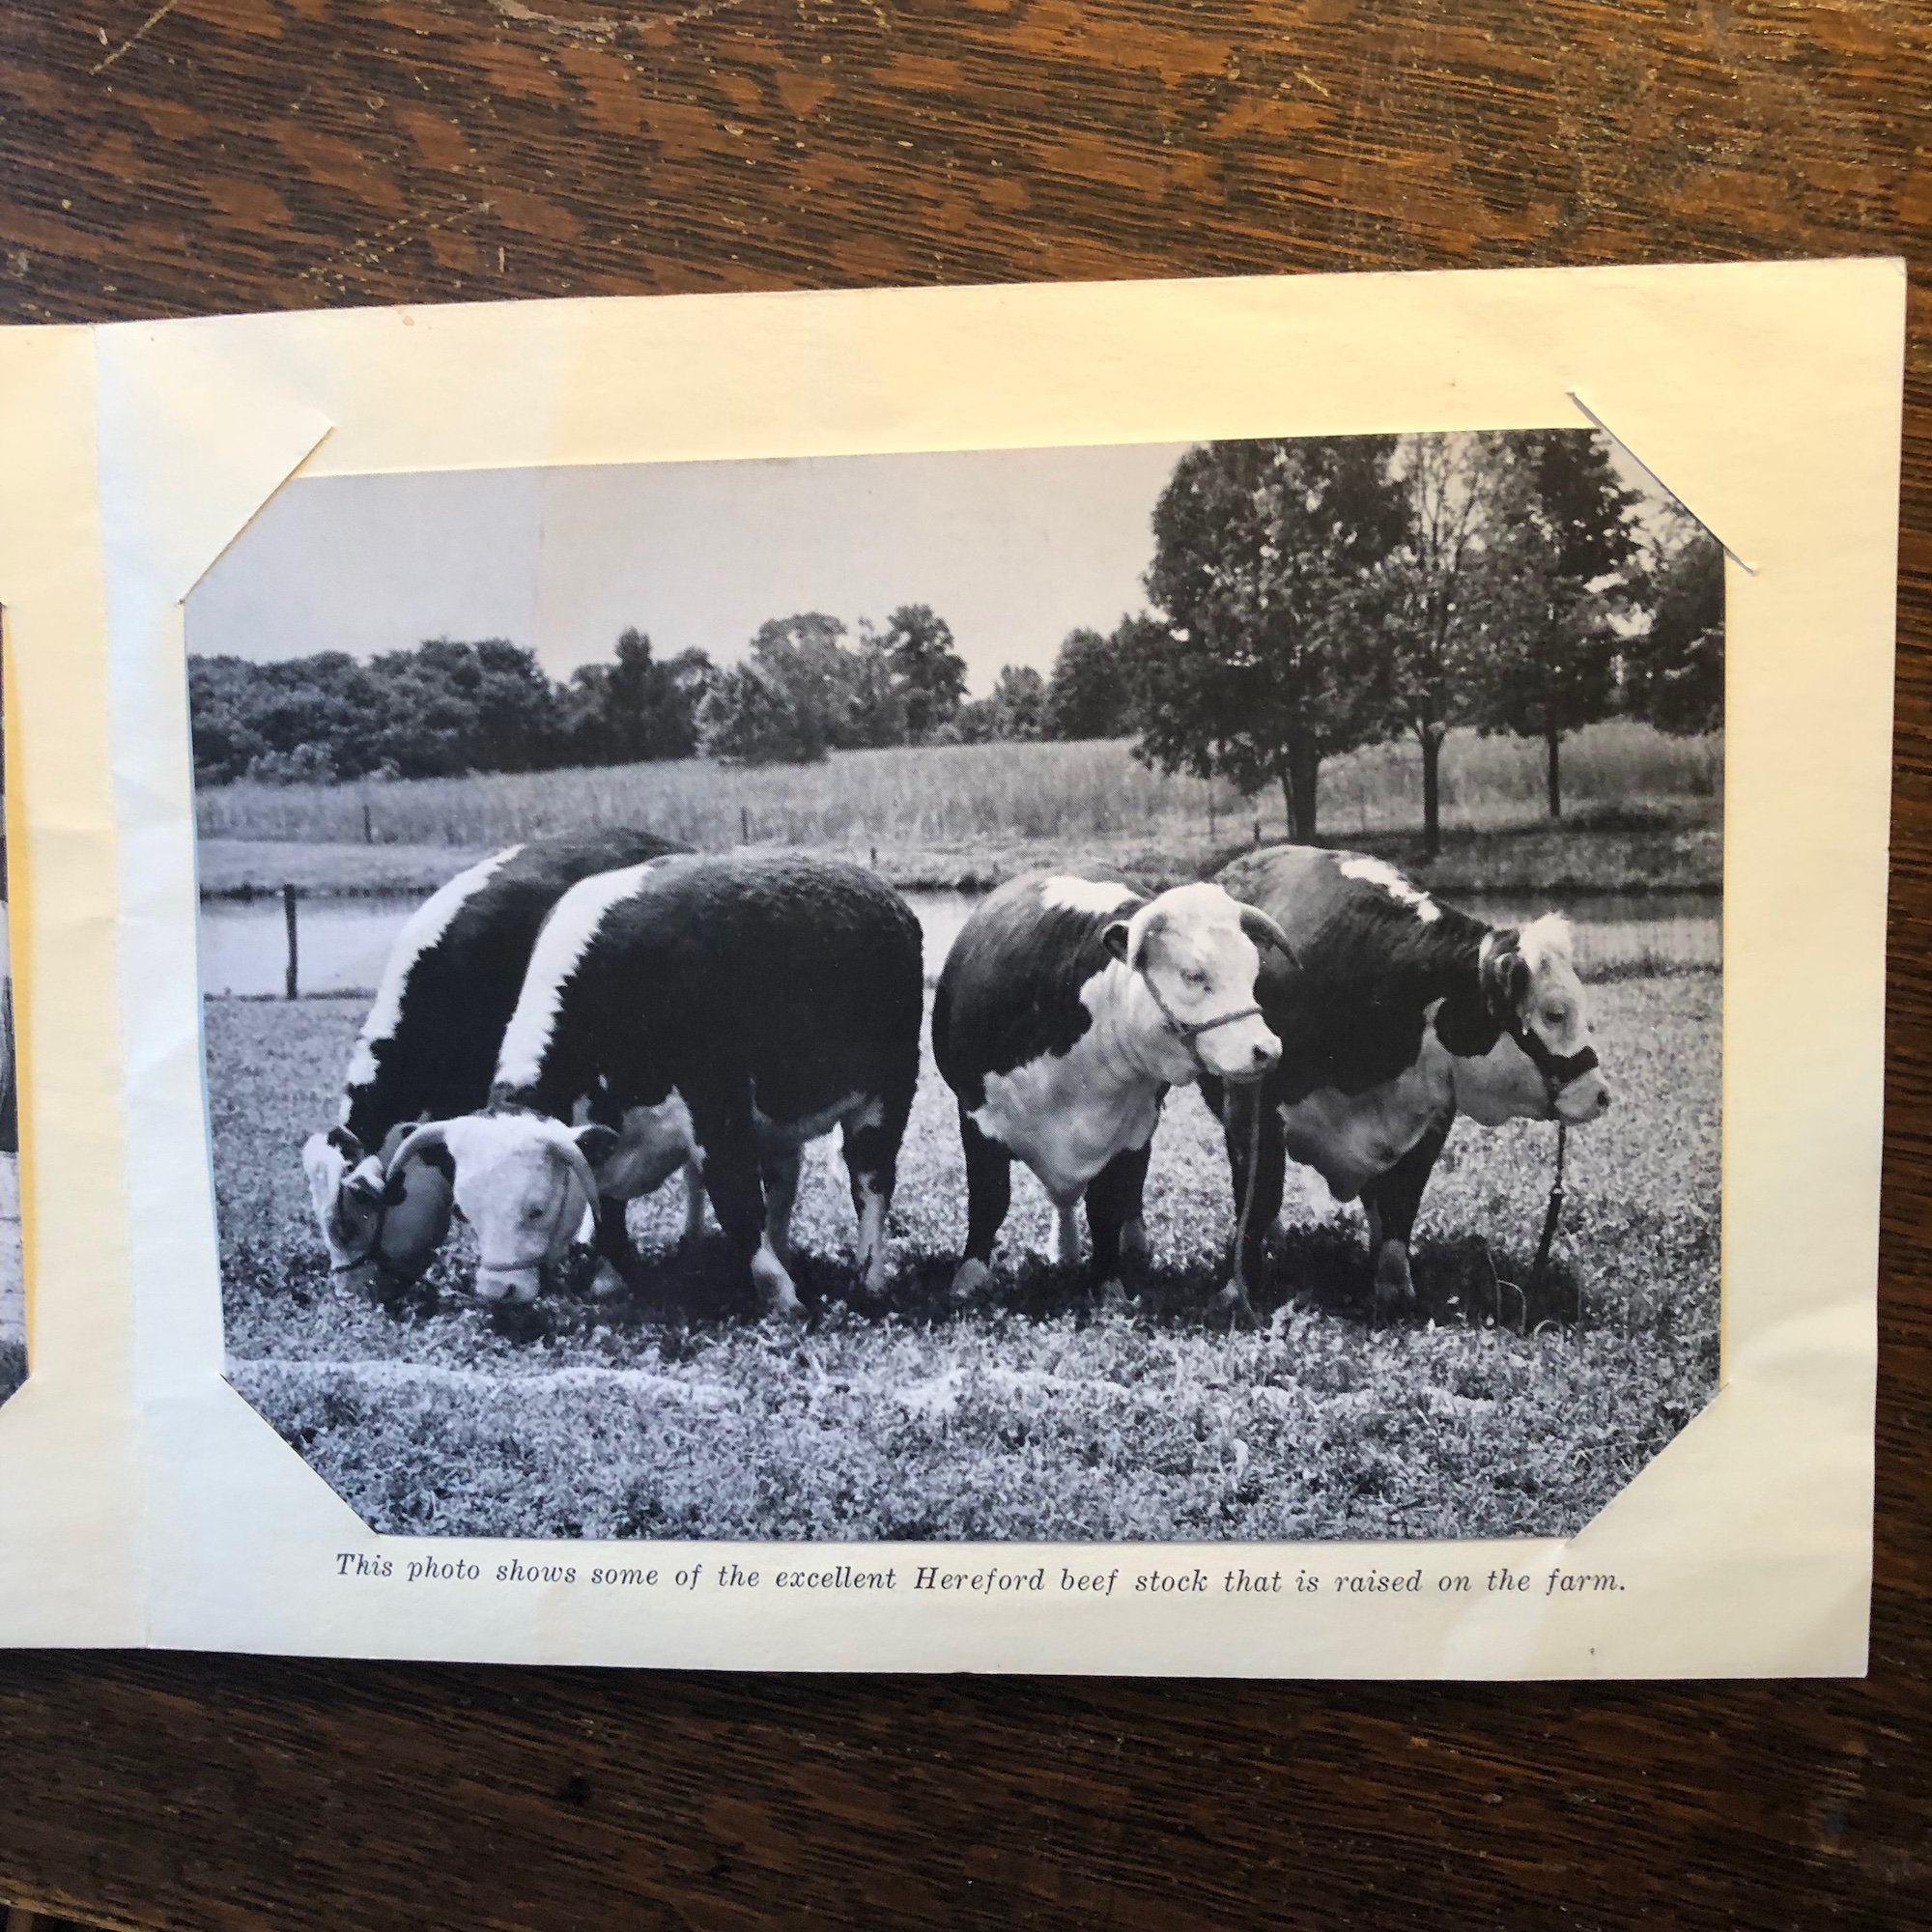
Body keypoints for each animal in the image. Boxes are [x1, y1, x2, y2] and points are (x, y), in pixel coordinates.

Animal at [388, 851, 924, 1319]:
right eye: (465, 1211)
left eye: (536, 1210)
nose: (498, 1293)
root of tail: (883, 894)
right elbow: (607, 1205)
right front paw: (609, 1278)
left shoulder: (717, 1111)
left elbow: (736, 1201)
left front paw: (780, 1295)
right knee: (785, 1182)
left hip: (887, 1095)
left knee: (870, 1182)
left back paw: (869, 1277)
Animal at [931, 874, 1296, 1304]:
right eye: (1193, 975)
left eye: (1252, 972)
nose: (1267, 1050)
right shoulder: (976, 1116)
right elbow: (989, 1199)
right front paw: (969, 1278)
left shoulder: (1128, 1132)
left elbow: (1107, 1205)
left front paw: (1108, 1281)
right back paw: (1065, 1249)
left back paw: (1129, 1242)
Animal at [1199, 845, 1612, 1324]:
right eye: (1554, 1013)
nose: (1599, 1094)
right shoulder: (1248, 1107)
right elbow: (1258, 1196)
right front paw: (1238, 1289)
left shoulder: (1431, 1119)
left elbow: (1401, 1201)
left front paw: (1394, 1289)